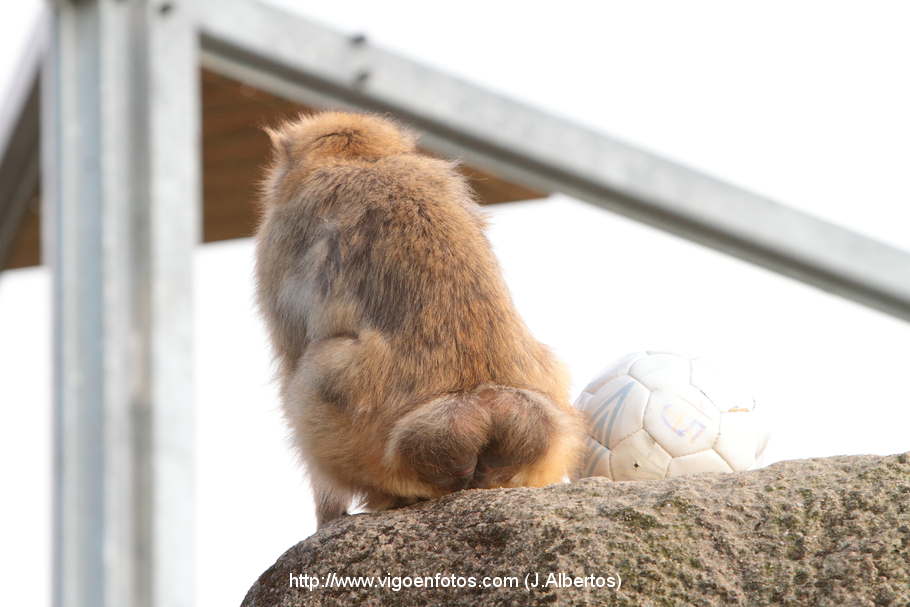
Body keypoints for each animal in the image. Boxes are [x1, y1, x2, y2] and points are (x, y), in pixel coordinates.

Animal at [253, 111, 585, 528]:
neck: (364, 160)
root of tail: (481, 404)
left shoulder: (280, 239)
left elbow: (291, 353)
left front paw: (326, 515)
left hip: (364, 443)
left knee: (312, 374)